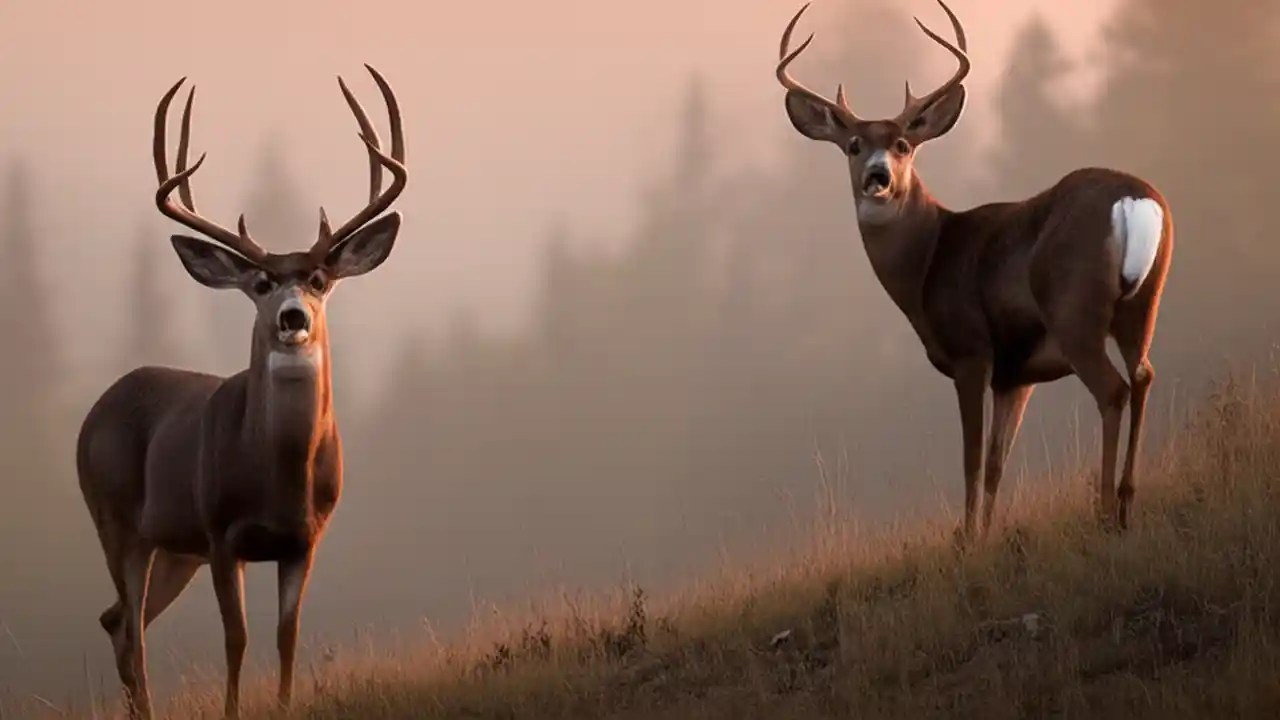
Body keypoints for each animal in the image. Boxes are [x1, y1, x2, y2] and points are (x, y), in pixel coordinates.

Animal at [76, 65, 407, 719]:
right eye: (259, 282)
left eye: (318, 279)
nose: (292, 318)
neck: (277, 474)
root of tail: (96, 410)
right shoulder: (221, 531)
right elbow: (237, 636)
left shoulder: (304, 539)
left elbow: (286, 634)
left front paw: (284, 704)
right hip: (117, 518)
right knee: (129, 626)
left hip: (175, 548)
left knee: (118, 620)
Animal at [775, 1, 1173, 541]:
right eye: (854, 144)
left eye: (903, 145)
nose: (878, 176)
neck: (931, 256)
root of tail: (1134, 200)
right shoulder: (1015, 374)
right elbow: (997, 462)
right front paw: (986, 532)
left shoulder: (971, 352)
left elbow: (971, 458)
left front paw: (966, 538)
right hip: (1143, 303)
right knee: (1144, 375)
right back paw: (1129, 502)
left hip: (1076, 312)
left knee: (1113, 390)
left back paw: (1106, 510)